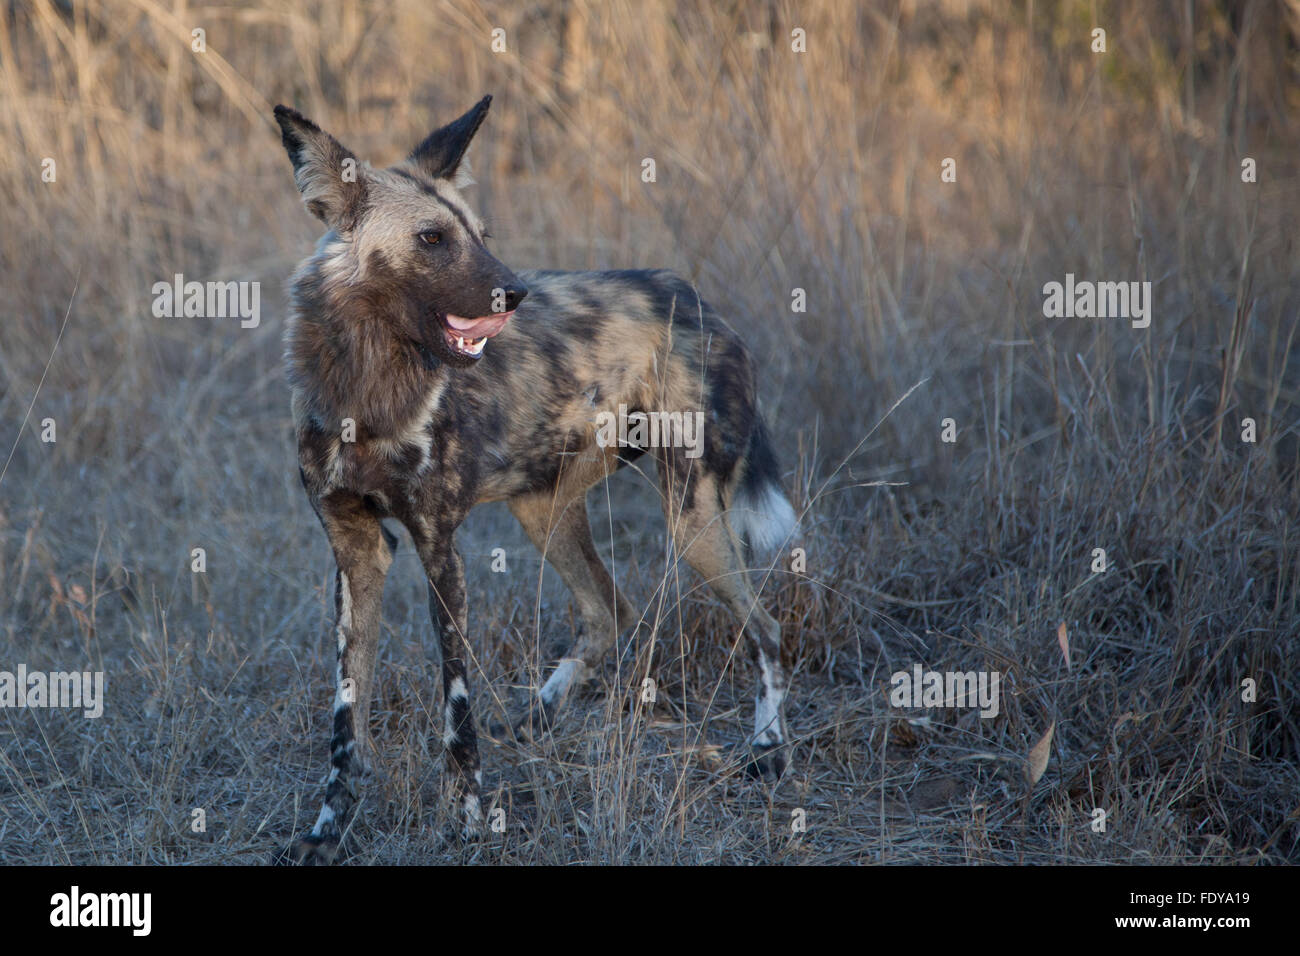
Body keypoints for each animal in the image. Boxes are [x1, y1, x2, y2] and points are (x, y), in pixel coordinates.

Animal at [273, 93, 795, 863]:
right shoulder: (357, 550)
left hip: (692, 521)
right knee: (610, 610)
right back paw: (536, 716)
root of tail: (694, 296)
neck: (366, 389)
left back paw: (768, 749)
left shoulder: (438, 550)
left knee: (765, 627)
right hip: (543, 514)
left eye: (481, 233)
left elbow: (457, 713)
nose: (514, 292)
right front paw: (327, 831)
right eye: (432, 238)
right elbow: (346, 724)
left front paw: (469, 821)